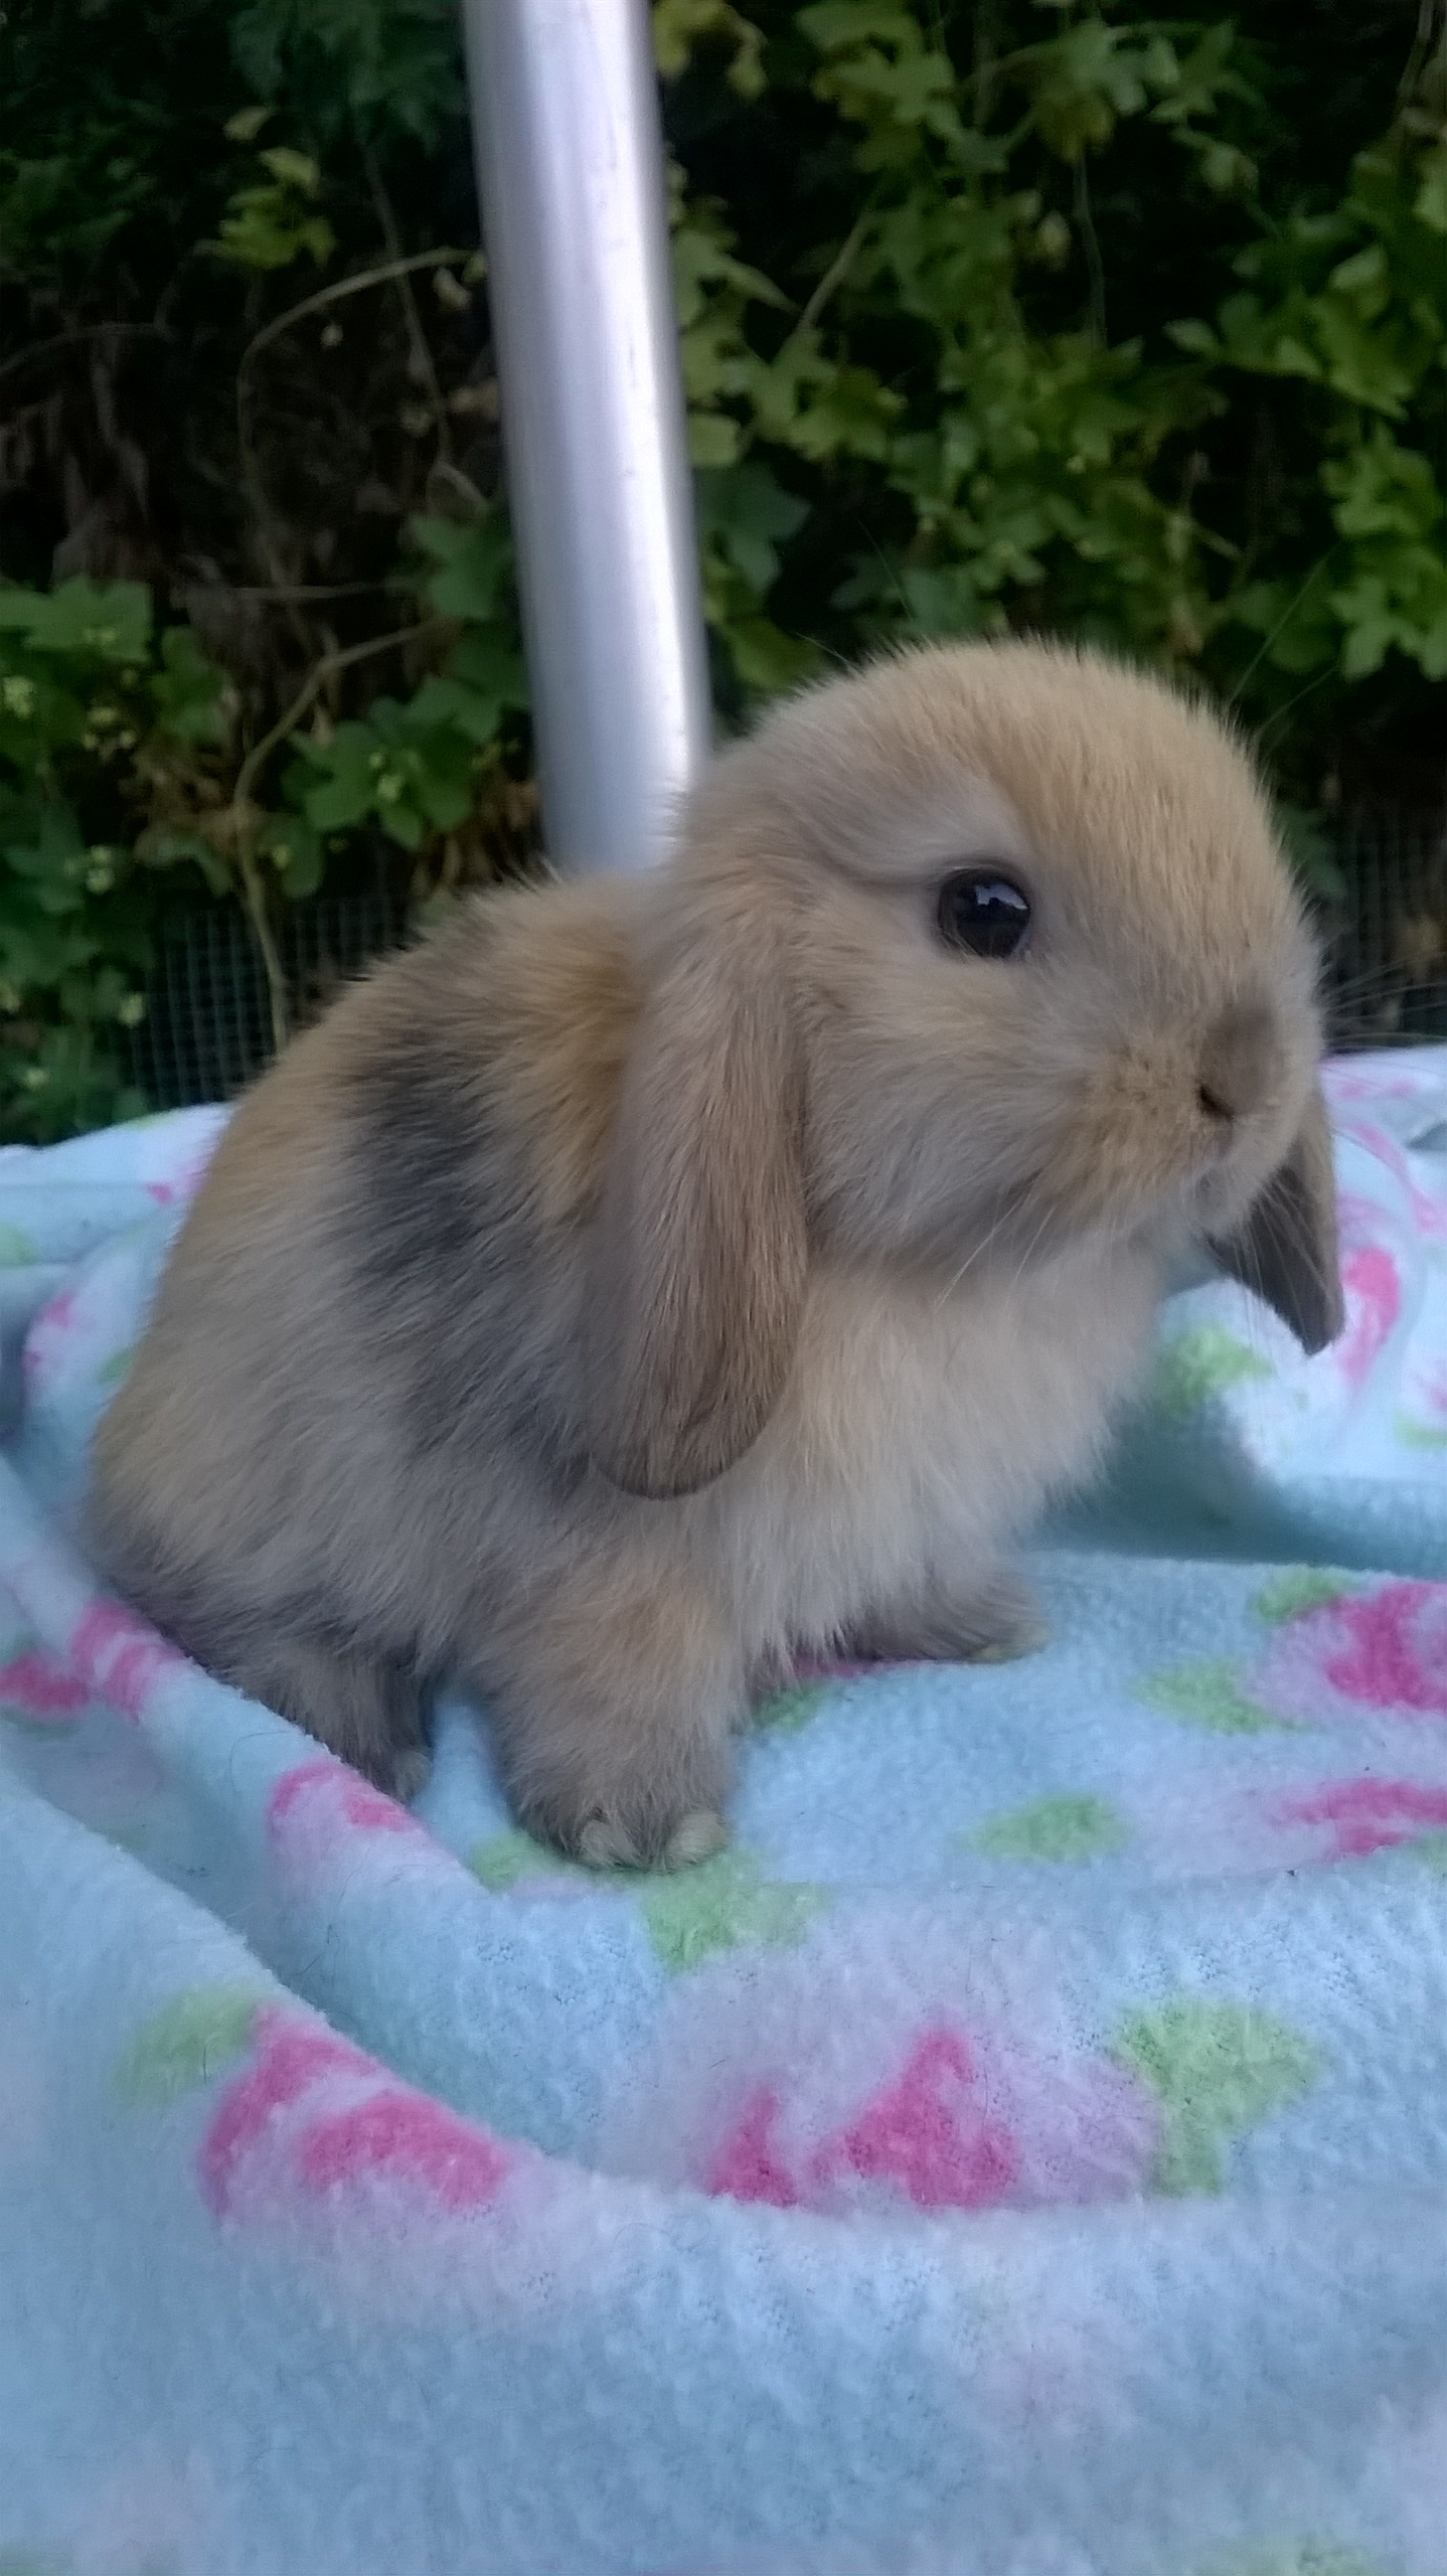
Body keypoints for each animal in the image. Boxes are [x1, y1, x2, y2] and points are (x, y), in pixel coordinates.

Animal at [88, 640, 1343, 1867]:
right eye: (984, 910)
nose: (1245, 1074)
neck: (933, 1268)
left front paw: (974, 1625)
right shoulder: (601, 1557)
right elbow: (621, 1664)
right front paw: (642, 1825)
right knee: (221, 1621)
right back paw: (359, 1734)